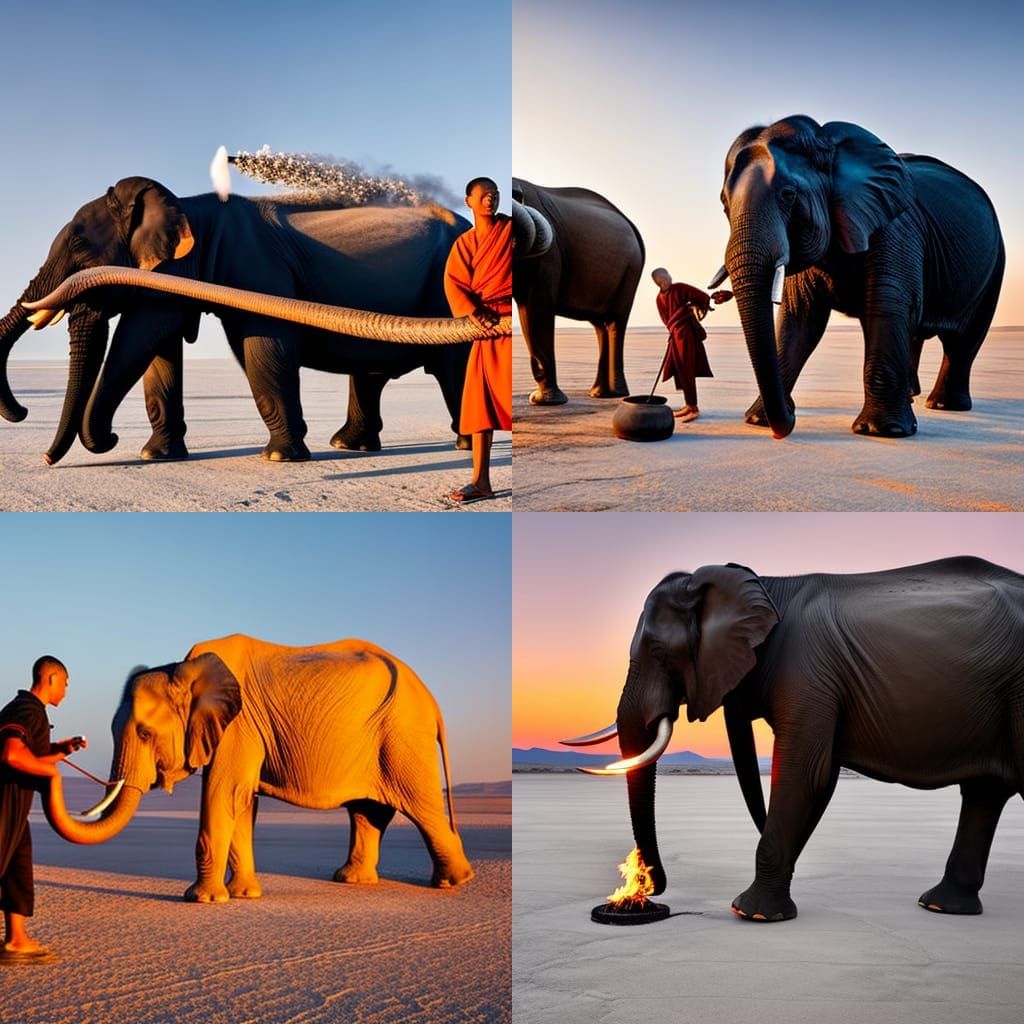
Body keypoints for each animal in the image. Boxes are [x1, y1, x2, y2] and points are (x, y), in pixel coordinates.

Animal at [0, 176, 479, 463]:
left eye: (80, 249)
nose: (45, 456)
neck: (185, 203)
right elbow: (157, 344)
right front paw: (155, 456)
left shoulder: (254, 266)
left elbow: (260, 347)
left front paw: (280, 458)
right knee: (370, 372)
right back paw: (350, 446)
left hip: (445, 288)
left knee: (453, 365)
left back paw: (464, 443)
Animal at [40, 634, 475, 901]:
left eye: (145, 733)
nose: (66, 748)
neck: (183, 669)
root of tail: (430, 698)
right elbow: (242, 803)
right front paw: (244, 895)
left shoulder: (240, 726)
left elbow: (223, 794)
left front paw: (201, 899)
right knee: (368, 812)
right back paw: (352, 880)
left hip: (402, 737)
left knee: (421, 806)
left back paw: (454, 882)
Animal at [512, 178, 645, 405]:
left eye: (518, 196)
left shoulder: (549, 258)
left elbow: (536, 307)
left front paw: (546, 402)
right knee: (601, 324)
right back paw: (600, 394)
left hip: (631, 269)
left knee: (616, 320)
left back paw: (615, 394)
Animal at [564, 557, 1024, 921]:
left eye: (659, 651)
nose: (650, 887)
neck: (762, 585)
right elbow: (817, 777)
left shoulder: (810, 672)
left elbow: (809, 773)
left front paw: (751, 913)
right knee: (983, 793)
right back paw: (941, 906)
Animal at [709, 115, 1004, 439]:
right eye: (724, 204)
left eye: (788, 195)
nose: (789, 423)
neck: (828, 146)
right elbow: (800, 318)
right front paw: (756, 421)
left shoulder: (895, 228)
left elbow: (887, 305)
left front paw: (882, 431)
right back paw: (913, 397)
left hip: (994, 264)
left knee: (962, 339)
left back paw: (943, 405)